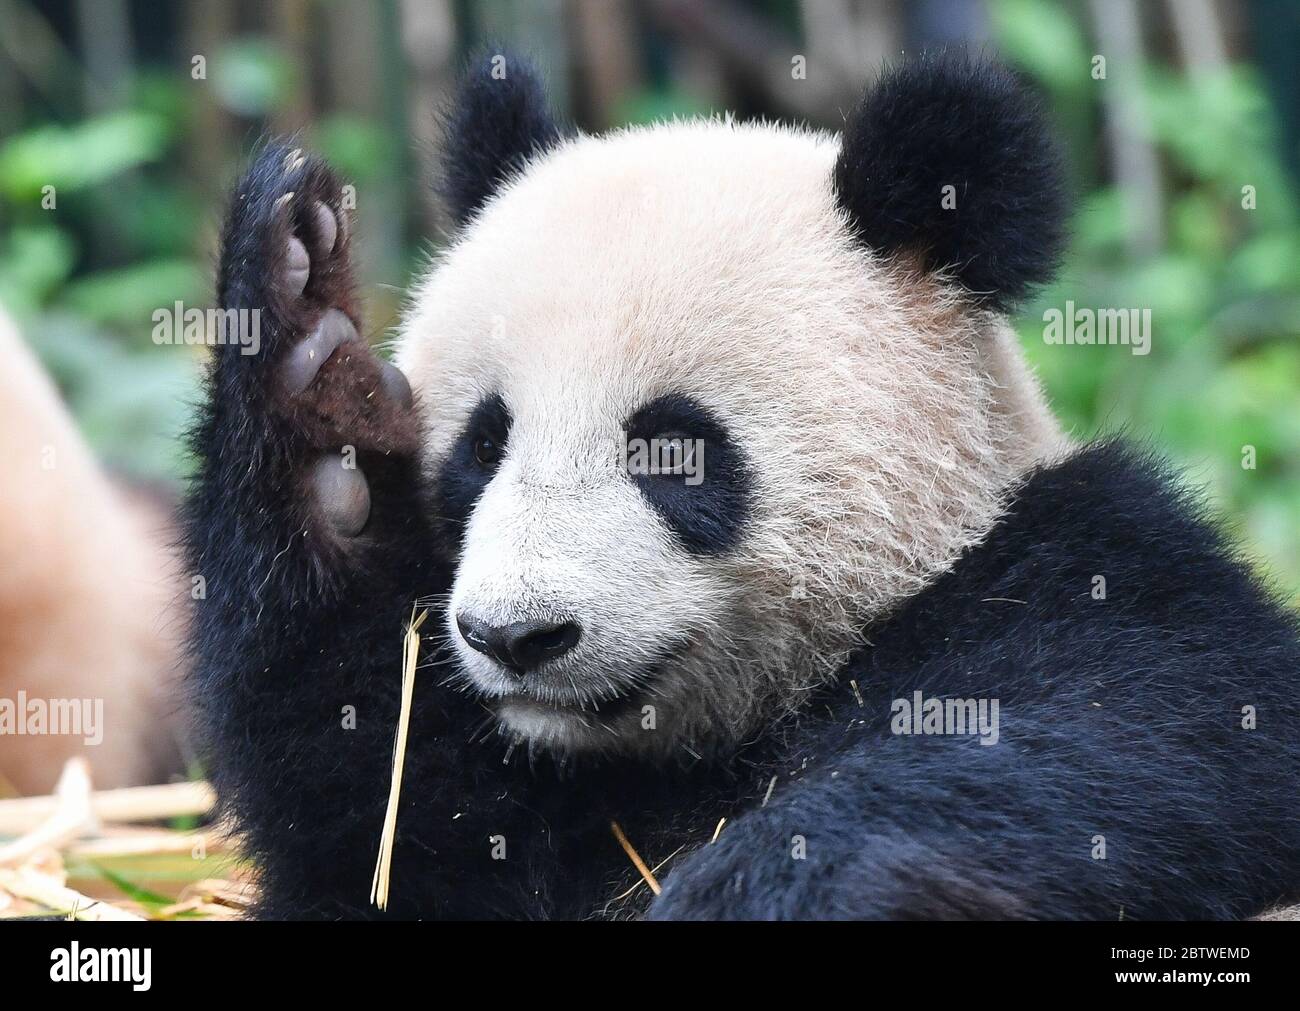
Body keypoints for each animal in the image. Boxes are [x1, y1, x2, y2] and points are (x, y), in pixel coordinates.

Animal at [185, 51, 1300, 920]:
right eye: (481, 446)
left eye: (671, 453)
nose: (515, 636)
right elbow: (379, 817)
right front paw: (311, 383)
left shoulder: (1087, 571)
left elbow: (1130, 734)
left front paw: (758, 882)